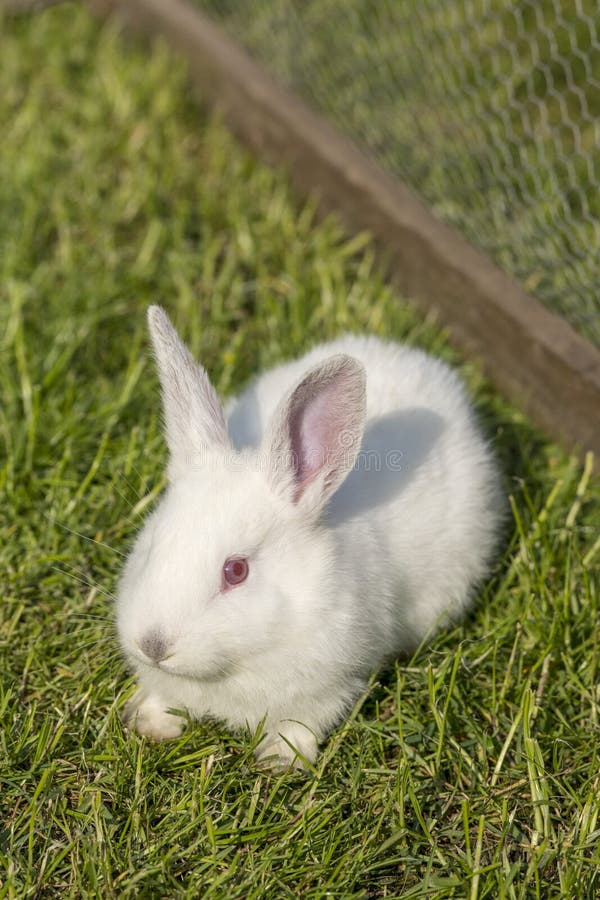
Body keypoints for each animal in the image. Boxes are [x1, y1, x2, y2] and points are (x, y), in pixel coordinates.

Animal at [117, 305, 503, 768]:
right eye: (152, 546)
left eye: (236, 571)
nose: (153, 645)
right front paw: (148, 723)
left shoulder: (328, 688)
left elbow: (301, 725)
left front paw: (279, 761)